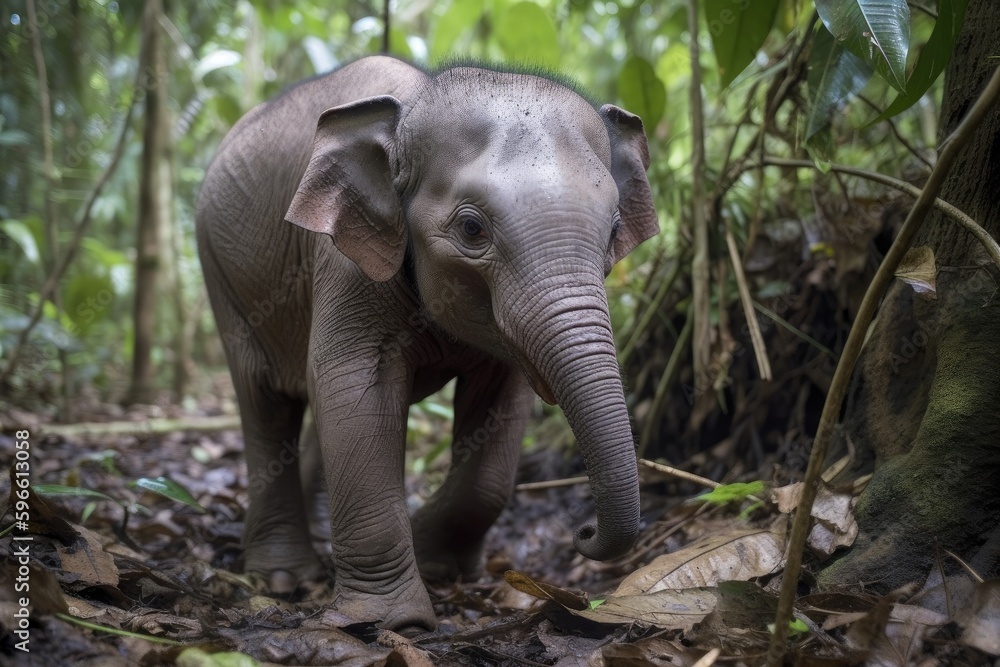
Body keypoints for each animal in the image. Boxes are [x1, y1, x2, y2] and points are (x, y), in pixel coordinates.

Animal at [195, 55, 660, 631]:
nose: (584, 533)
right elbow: (352, 383)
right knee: (264, 400)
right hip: (221, 271)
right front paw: (389, 622)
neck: (416, 103)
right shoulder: (345, 262)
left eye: (615, 228)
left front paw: (435, 560)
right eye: (472, 228)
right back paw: (282, 578)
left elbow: (495, 432)